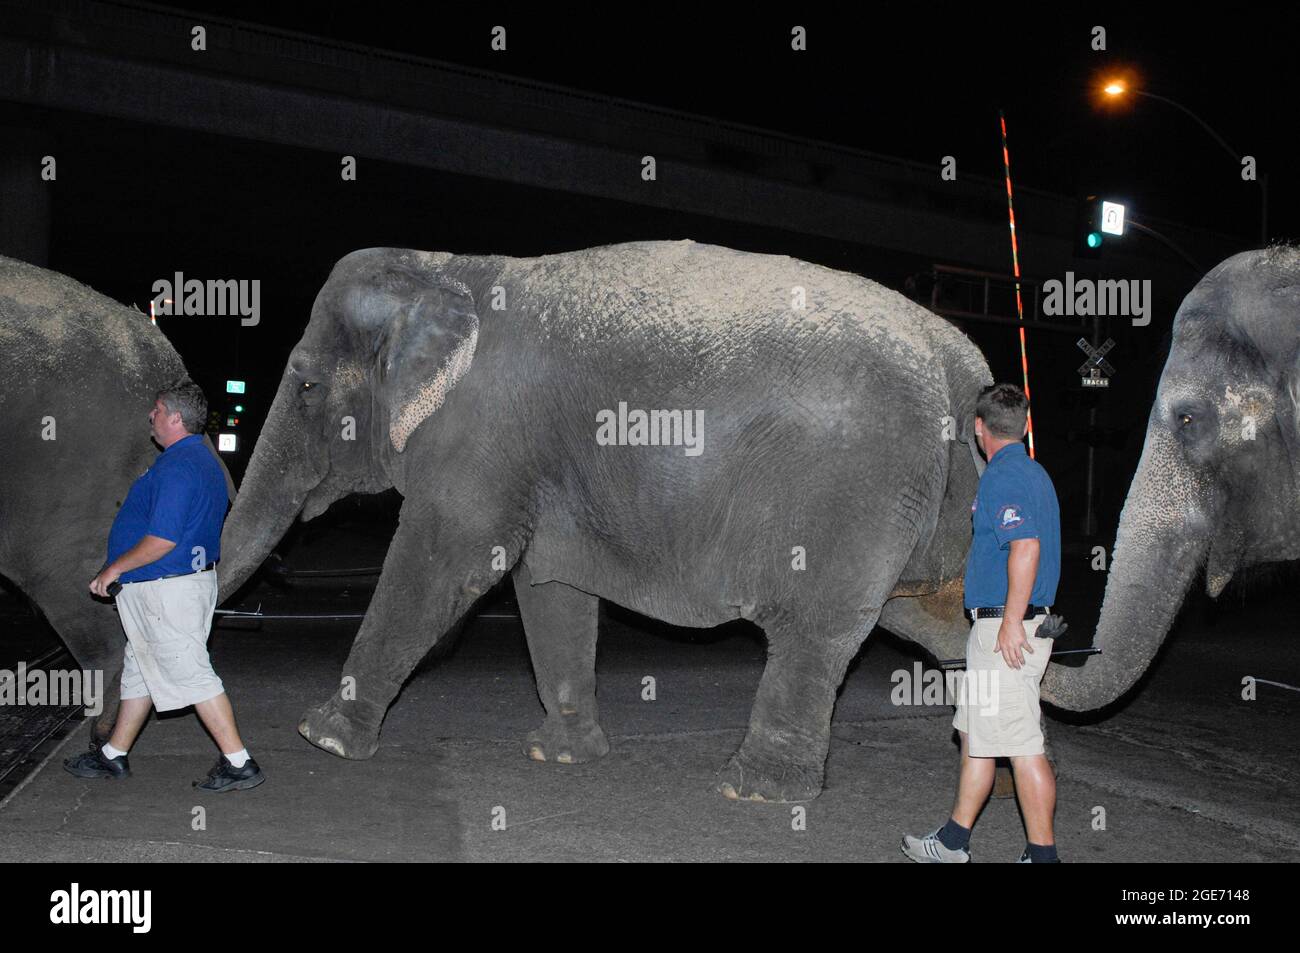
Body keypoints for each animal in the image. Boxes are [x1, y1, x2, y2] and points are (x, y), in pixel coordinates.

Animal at [217, 239, 994, 801]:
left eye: (307, 384)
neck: (446, 267)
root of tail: (961, 368)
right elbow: (548, 586)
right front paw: (561, 756)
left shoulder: (480, 441)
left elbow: (443, 562)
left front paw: (322, 737)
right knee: (943, 623)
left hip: (854, 494)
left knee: (816, 631)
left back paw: (754, 793)